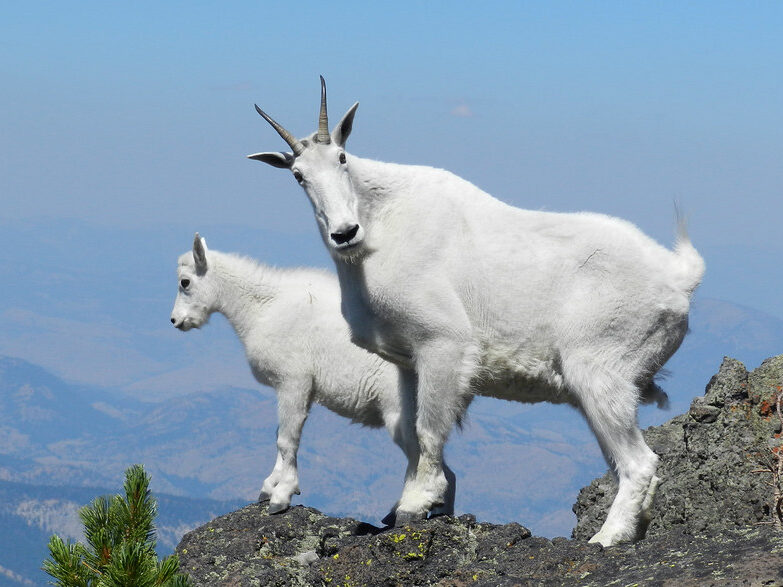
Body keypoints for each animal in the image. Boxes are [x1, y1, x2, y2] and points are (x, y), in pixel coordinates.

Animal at [170, 234, 456, 518]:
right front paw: (269, 487)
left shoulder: (292, 381)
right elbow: (281, 434)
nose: (175, 320)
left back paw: (410, 509)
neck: (261, 308)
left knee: (423, 458)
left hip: (399, 411)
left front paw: (281, 496)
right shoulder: (300, 389)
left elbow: (287, 439)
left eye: (185, 282)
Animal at [247, 78, 705, 546]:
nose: (344, 232)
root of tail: (678, 278)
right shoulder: (407, 361)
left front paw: (417, 504)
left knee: (639, 462)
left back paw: (606, 538)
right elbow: (410, 429)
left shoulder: (442, 344)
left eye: (342, 158)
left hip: (599, 370)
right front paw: (406, 504)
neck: (379, 230)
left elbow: (429, 428)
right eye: (298, 176)